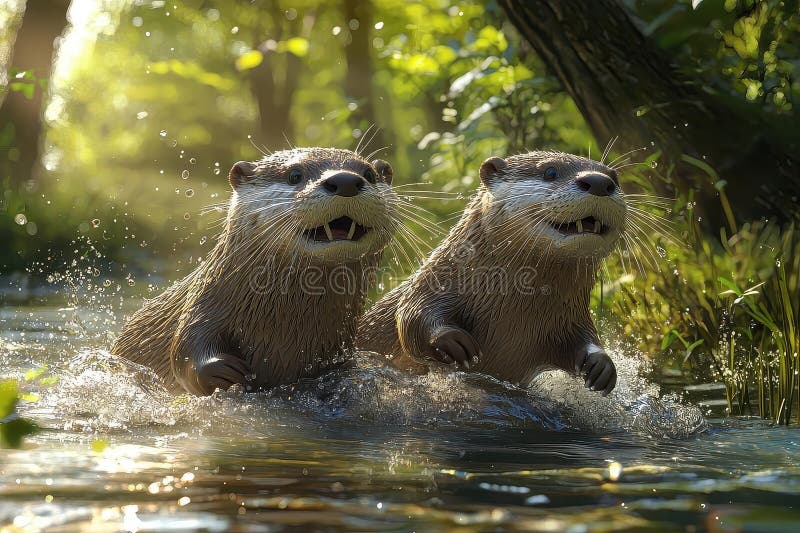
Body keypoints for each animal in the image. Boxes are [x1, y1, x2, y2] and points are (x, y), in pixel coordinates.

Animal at [113, 148, 399, 395]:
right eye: (294, 175)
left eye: (369, 174)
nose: (345, 180)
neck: (281, 323)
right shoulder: (204, 304)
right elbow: (183, 351)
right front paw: (221, 371)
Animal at [357, 150, 625, 395]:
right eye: (550, 172)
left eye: (614, 177)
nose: (599, 182)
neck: (514, 306)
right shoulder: (435, 281)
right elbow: (411, 315)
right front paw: (452, 341)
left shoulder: (570, 316)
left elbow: (584, 340)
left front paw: (601, 365)